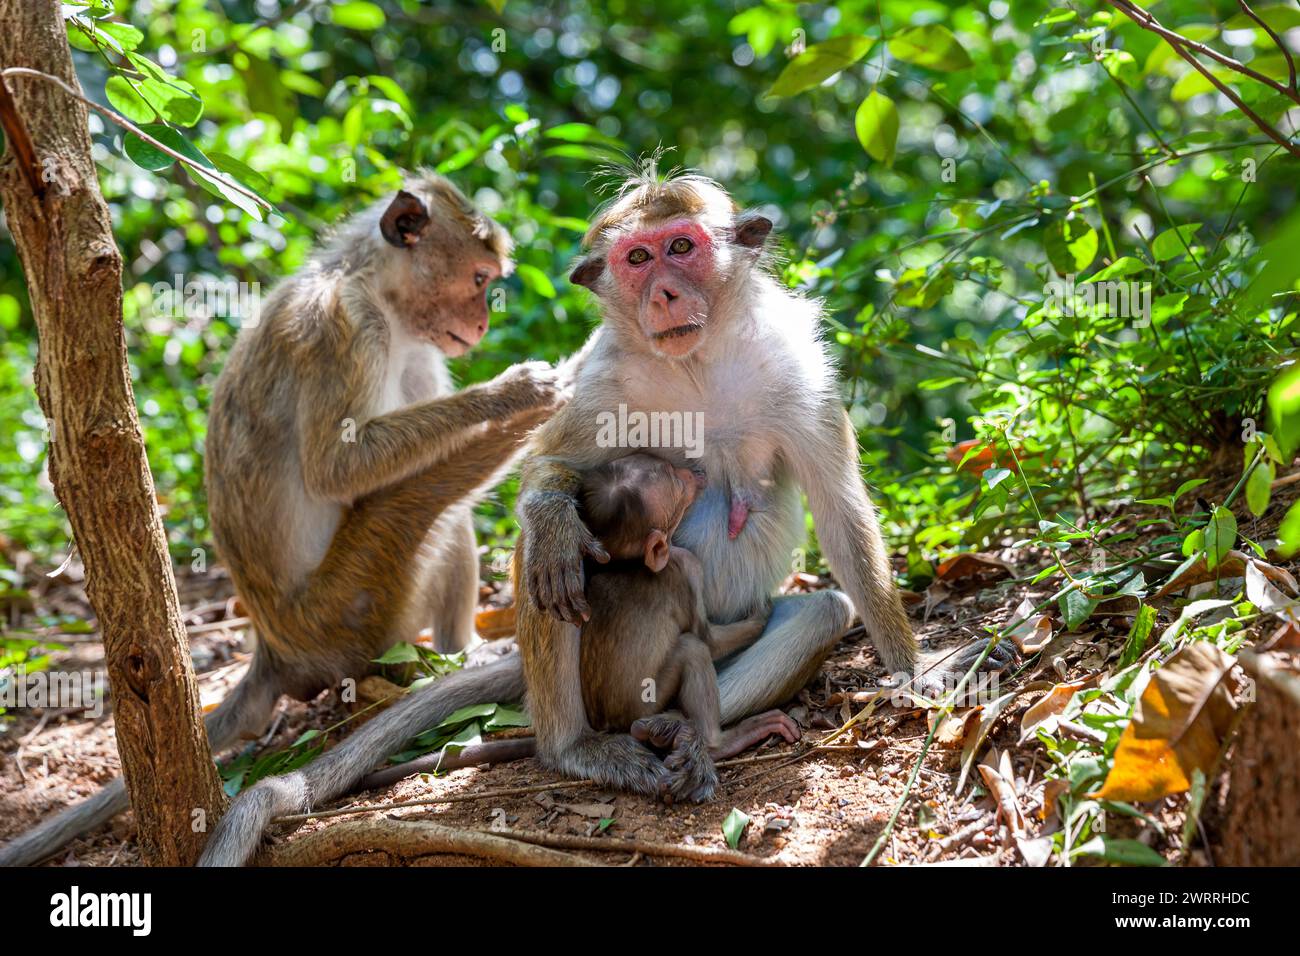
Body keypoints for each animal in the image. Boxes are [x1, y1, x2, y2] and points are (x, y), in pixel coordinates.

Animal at [0, 172, 565, 867]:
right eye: (480, 277)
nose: (484, 320)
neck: (371, 285)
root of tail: (276, 646)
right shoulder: (346, 329)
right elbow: (338, 468)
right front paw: (514, 393)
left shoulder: (416, 349)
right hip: (353, 606)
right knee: (426, 504)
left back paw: (463, 652)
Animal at [193, 164, 1010, 867]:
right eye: (636, 258)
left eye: (682, 247)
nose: (665, 294)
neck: (696, 361)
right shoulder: (603, 375)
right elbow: (549, 472)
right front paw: (553, 507)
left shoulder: (801, 371)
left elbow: (840, 514)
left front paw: (918, 672)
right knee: (547, 568)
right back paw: (575, 742)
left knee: (811, 615)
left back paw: (691, 732)